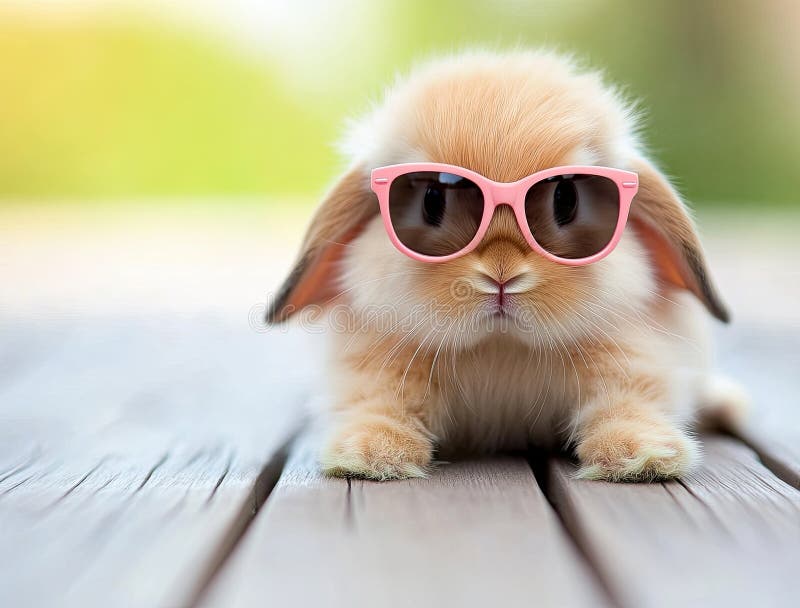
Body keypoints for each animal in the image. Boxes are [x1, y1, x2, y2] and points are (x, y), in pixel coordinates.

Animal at [266, 50, 748, 482]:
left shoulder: (632, 363)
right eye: (433, 199)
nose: (501, 276)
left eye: (566, 198)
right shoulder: (377, 372)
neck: (500, 347)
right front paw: (368, 455)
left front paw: (644, 457)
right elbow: (379, 407)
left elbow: (629, 404)